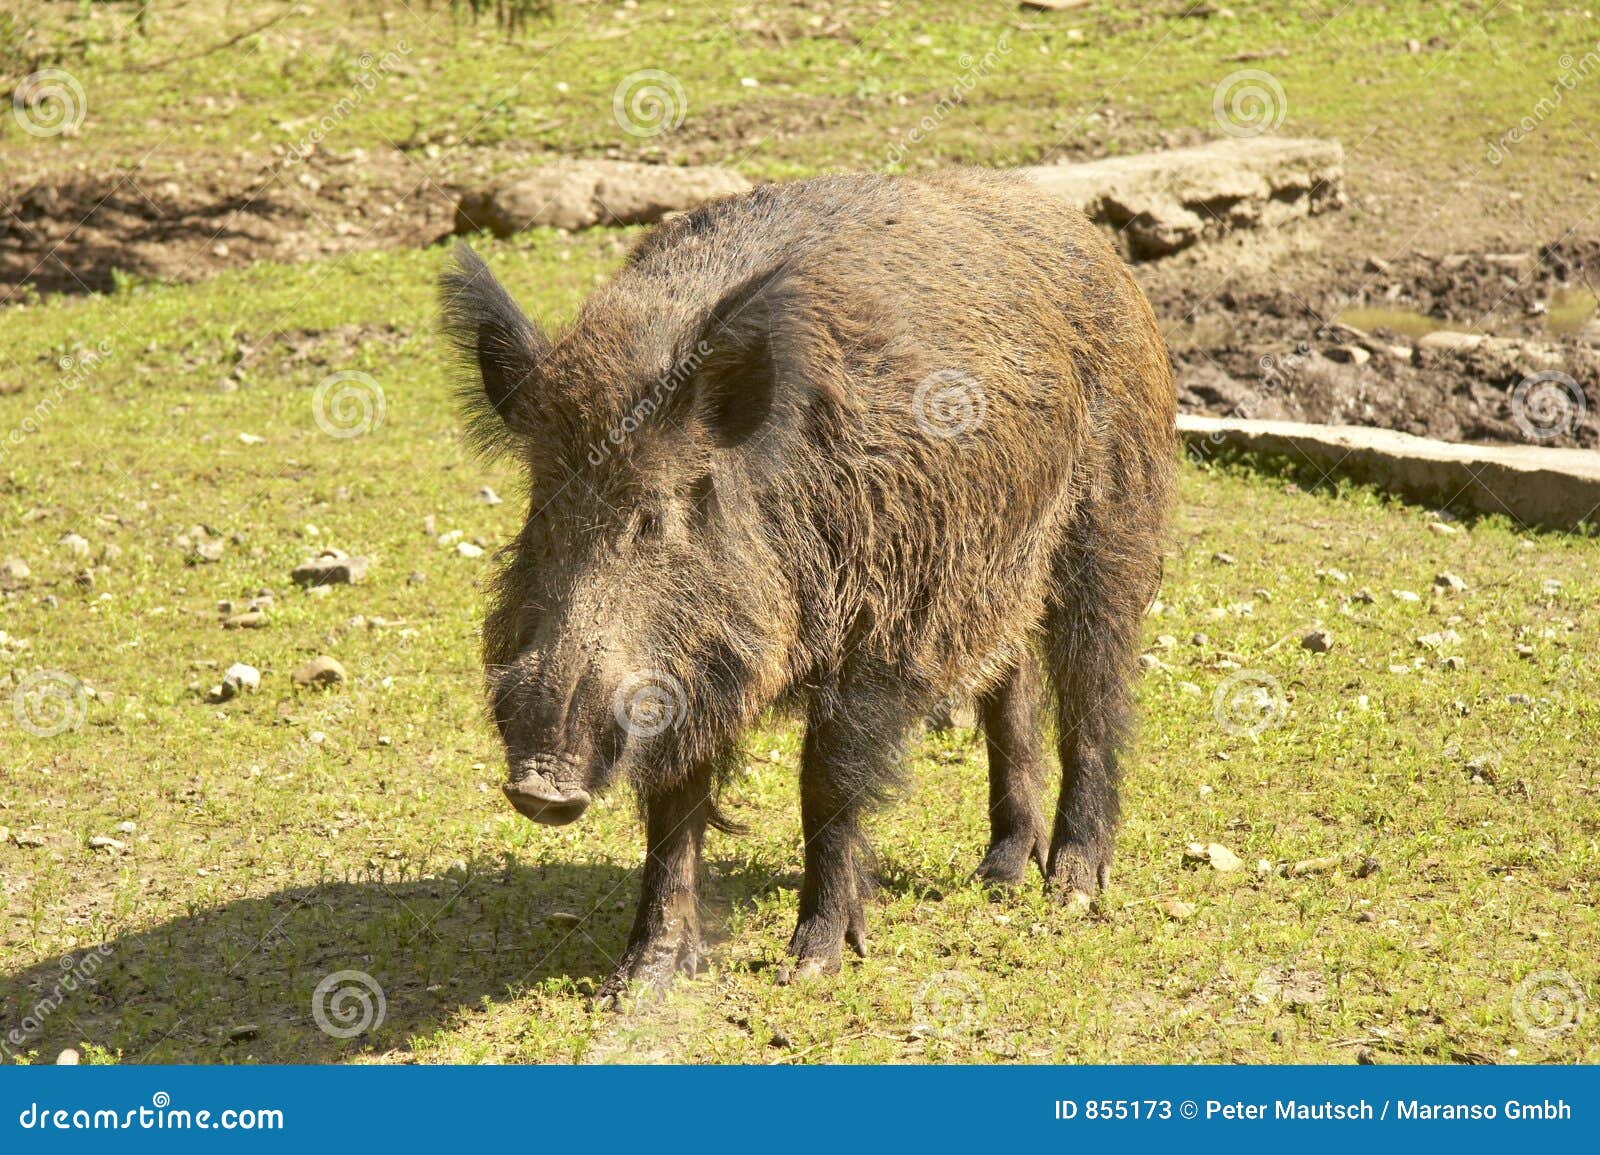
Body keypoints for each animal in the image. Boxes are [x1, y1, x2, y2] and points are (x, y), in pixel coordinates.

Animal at [439, 169, 1175, 999]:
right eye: (542, 507)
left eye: (654, 516)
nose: (540, 786)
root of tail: (1093, 244)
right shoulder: (691, 664)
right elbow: (672, 807)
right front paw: (634, 984)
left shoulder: (886, 629)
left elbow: (826, 781)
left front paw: (812, 962)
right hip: (996, 569)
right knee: (1010, 685)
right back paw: (999, 875)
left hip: (1112, 528)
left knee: (1093, 692)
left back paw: (1072, 886)